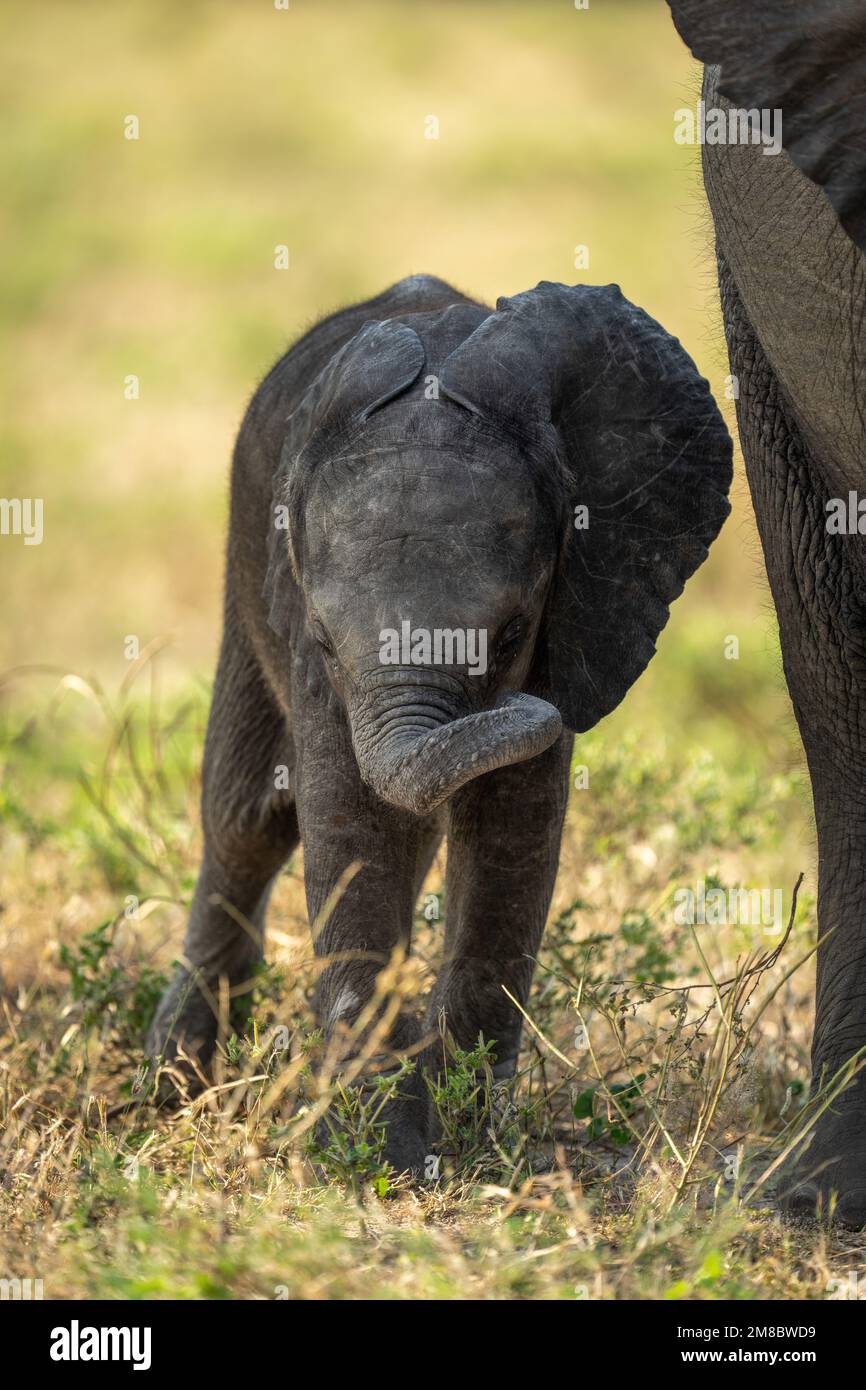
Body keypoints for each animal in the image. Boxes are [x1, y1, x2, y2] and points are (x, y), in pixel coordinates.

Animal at [147, 272, 732, 1173]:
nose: (528, 708)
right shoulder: (306, 637)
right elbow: (350, 828)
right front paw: (381, 1161)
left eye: (516, 633)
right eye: (324, 638)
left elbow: (512, 838)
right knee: (247, 819)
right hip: (242, 584)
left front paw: (467, 1146)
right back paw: (175, 1079)